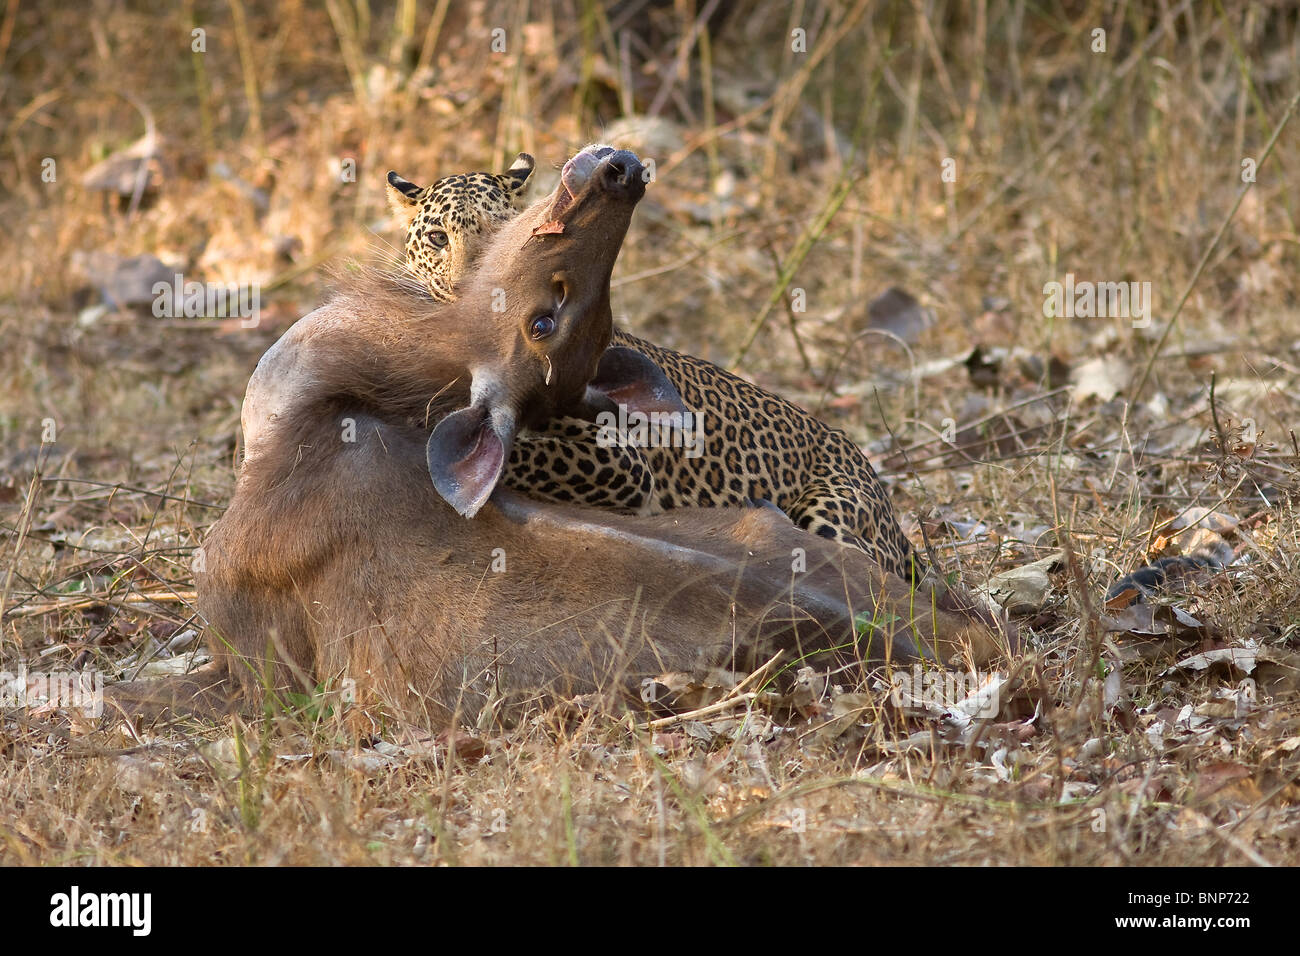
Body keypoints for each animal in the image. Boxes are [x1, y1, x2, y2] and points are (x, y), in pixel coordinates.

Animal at [387, 156, 920, 582]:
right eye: (438, 238)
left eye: (501, 235)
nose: (471, 299)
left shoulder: (623, 460)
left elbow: (522, 452)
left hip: (836, 509)